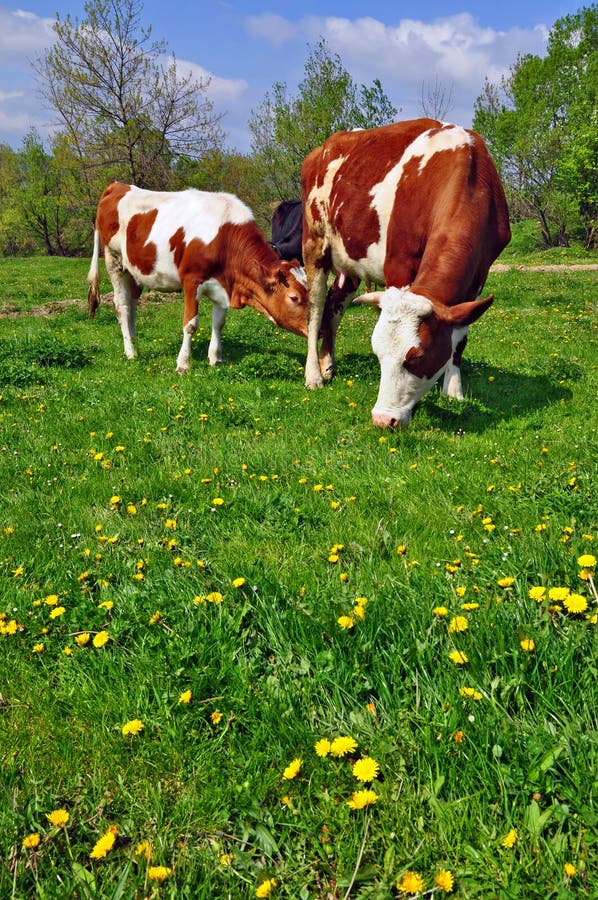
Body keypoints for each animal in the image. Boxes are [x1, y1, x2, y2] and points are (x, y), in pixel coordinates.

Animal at [87, 182, 308, 372]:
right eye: (294, 297)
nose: (313, 329)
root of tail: (118, 185)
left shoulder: (222, 286)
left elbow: (219, 323)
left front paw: (215, 359)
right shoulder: (191, 282)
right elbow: (191, 324)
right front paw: (183, 364)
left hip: (136, 272)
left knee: (132, 307)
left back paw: (135, 344)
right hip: (114, 261)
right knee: (122, 307)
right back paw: (131, 352)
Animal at [301, 118, 511, 427]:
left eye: (416, 357)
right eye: (377, 354)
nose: (381, 418)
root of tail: (325, 146)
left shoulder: (478, 276)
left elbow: (459, 337)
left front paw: (453, 390)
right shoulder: (397, 264)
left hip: (350, 259)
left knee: (335, 304)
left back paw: (328, 364)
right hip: (314, 244)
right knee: (315, 309)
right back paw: (313, 374)